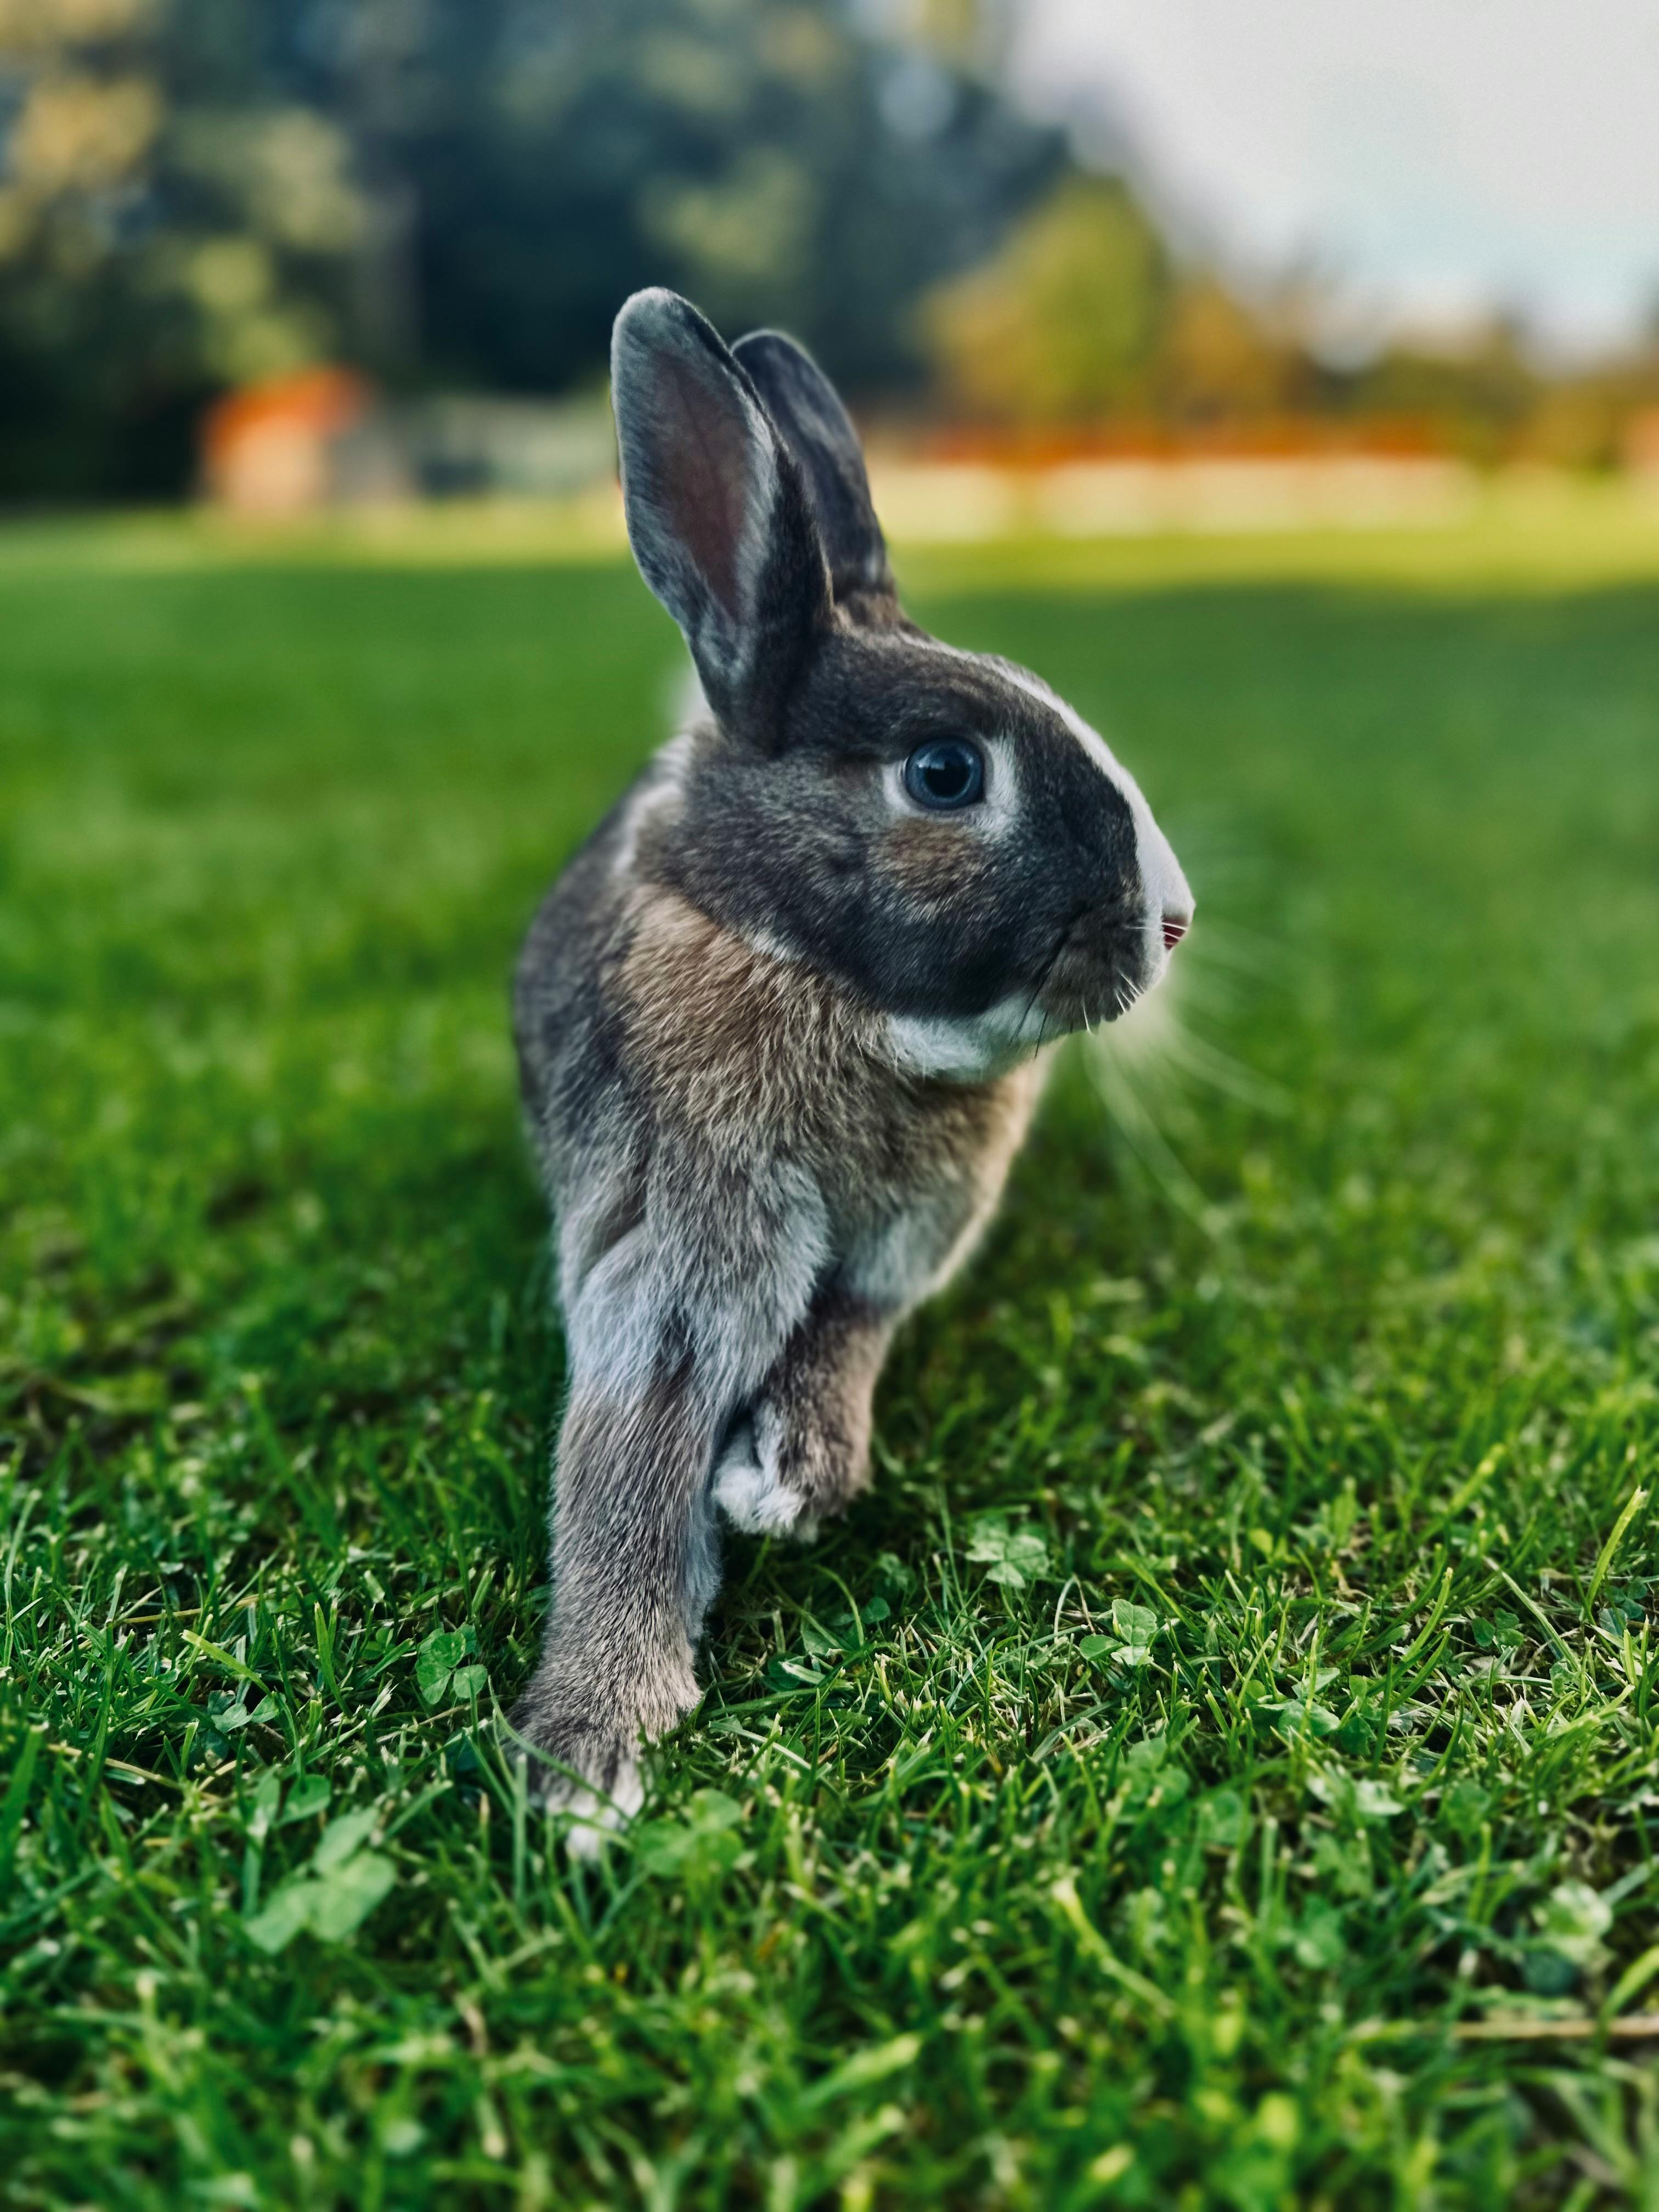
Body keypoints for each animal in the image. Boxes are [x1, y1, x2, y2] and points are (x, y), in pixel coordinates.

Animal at [510, 288, 1192, 1847]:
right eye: (946, 775)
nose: (1175, 920)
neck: (839, 995)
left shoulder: (902, 1249)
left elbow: (847, 1336)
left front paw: (792, 1476)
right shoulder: (680, 1235)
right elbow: (629, 1455)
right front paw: (590, 1751)